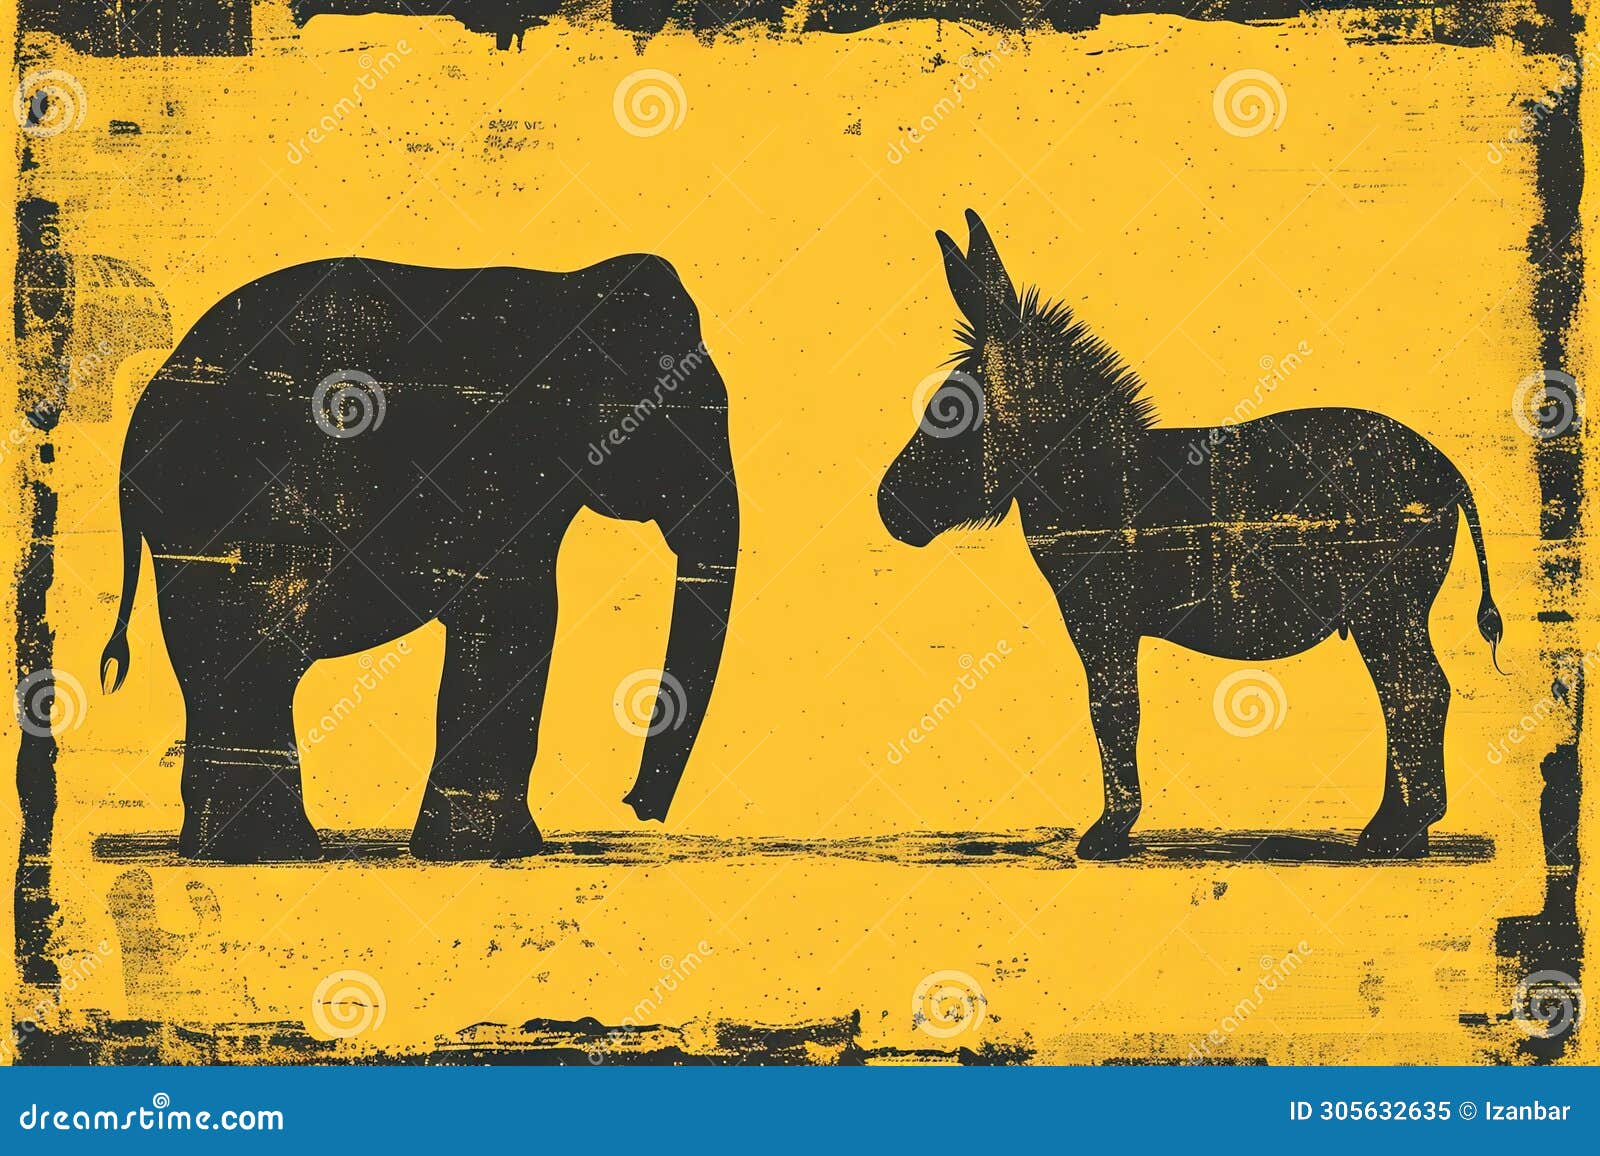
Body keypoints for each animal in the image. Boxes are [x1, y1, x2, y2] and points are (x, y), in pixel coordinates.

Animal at [100, 255, 739, 863]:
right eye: (679, 422)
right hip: (218, 520)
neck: (569, 293)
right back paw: (268, 852)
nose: (636, 807)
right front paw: (492, 852)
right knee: (244, 656)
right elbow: (521, 614)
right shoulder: (496, 470)